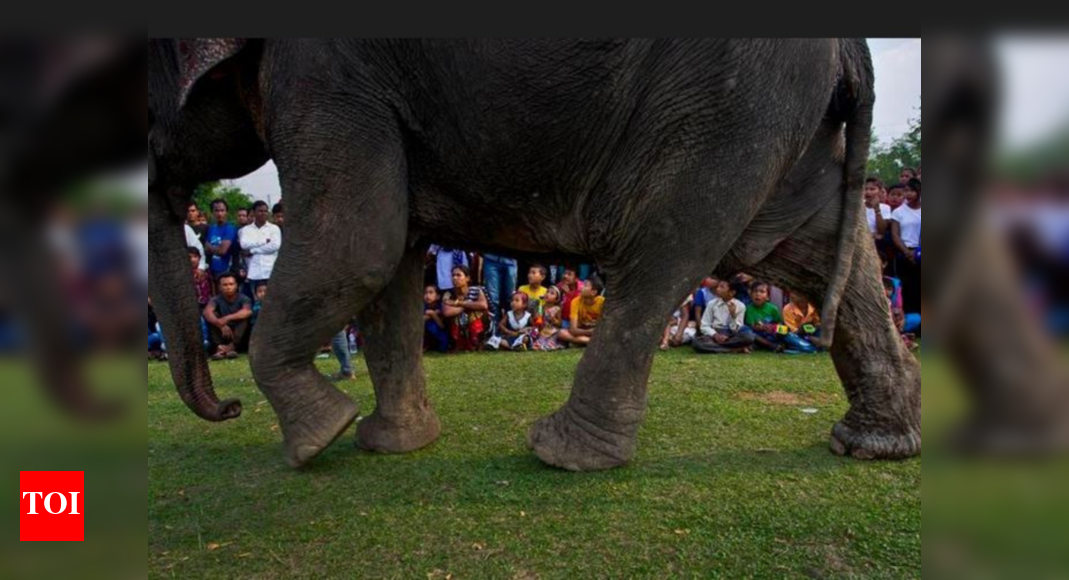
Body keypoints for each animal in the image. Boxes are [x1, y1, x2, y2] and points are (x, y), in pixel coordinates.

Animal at [148, 38, 922, 470]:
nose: (229, 410)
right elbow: (388, 265)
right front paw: (387, 444)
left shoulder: (324, 79)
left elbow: (358, 245)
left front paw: (316, 442)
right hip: (775, 121)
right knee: (815, 252)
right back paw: (869, 445)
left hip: (723, 110)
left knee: (659, 253)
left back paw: (562, 455)